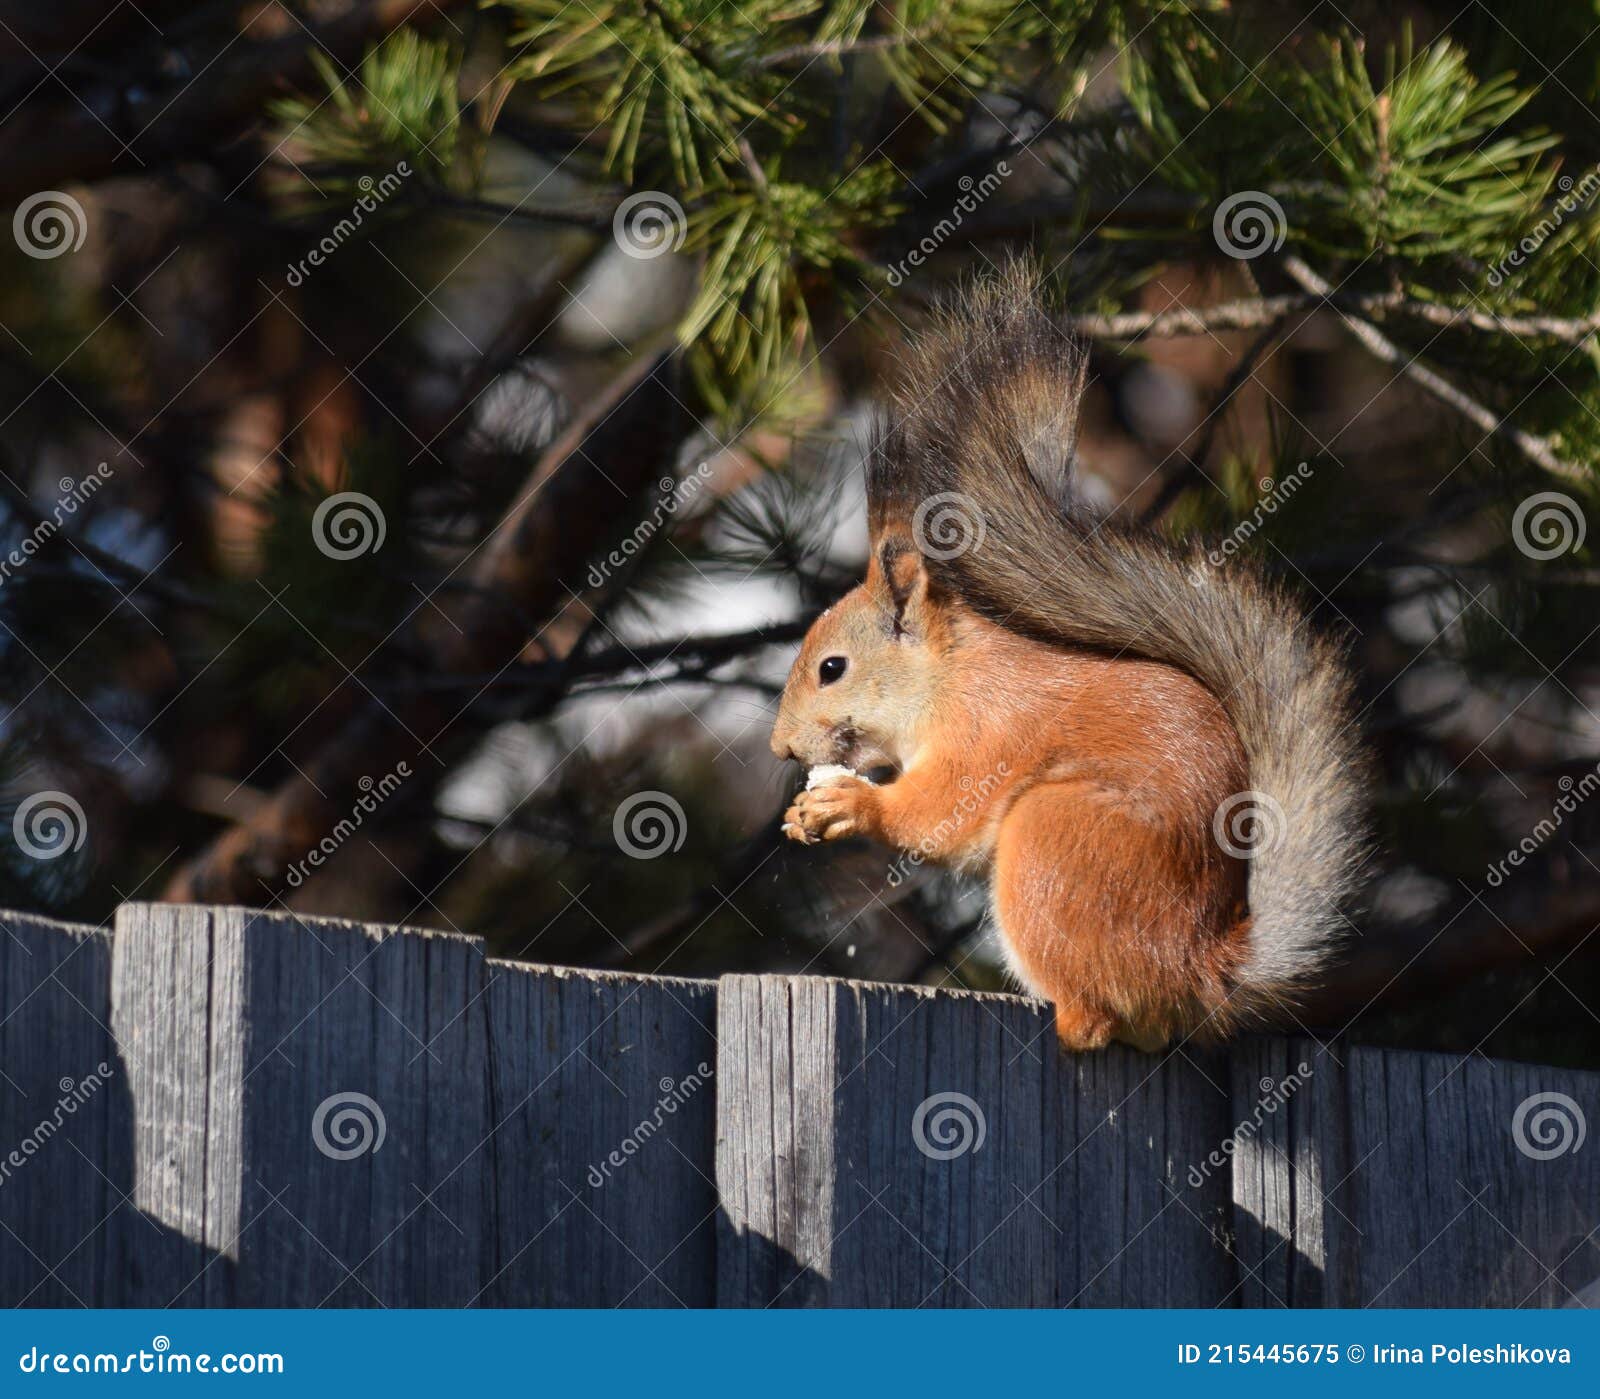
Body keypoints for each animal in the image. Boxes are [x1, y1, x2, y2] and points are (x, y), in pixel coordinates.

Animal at [769, 264, 1368, 1051]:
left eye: (831, 668)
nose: (780, 749)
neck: (947, 678)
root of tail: (1201, 967)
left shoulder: (986, 732)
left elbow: (937, 813)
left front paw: (851, 803)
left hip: (1054, 841)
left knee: (1092, 1019)